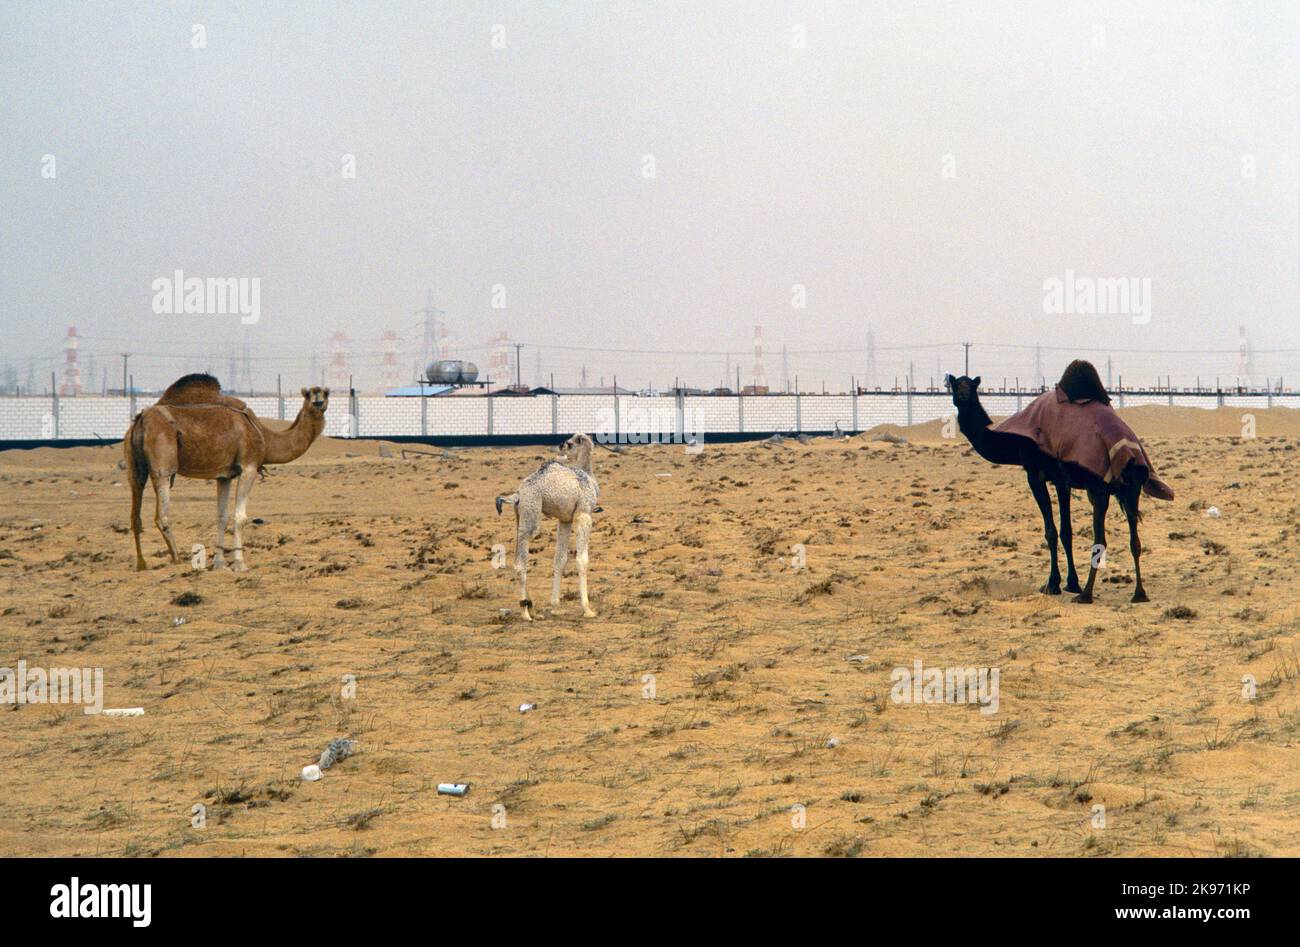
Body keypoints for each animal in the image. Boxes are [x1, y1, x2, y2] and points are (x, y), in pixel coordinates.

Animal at [124, 374, 329, 571]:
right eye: (309, 395)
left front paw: (219, 564)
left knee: (135, 511)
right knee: (162, 514)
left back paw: (141, 564)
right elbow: (240, 517)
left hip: (134, 466)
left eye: (326, 393)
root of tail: (140, 421)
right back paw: (177, 559)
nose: (318, 402)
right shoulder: (249, 467)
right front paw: (240, 563)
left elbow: (221, 516)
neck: (265, 437)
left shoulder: (224, 476)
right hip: (162, 465)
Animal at [495, 433, 601, 621]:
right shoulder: (584, 514)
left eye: (568, 443)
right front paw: (588, 610)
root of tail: (518, 493)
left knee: (517, 557)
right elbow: (582, 560)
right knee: (521, 562)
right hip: (532, 512)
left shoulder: (565, 520)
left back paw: (532, 608)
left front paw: (556, 608)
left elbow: (560, 559)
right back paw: (525, 612)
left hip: (520, 516)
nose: (559, 447)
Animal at [947, 361, 1172, 604]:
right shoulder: (1062, 480)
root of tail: (1130, 455)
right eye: (955, 385)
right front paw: (1071, 583)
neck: (1014, 441)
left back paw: (1086, 594)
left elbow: (1051, 531)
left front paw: (1053, 584)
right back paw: (1139, 593)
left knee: (1100, 539)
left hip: (1099, 488)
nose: (963, 395)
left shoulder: (1036, 474)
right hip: (1133, 488)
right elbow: (1066, 531)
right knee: (1135, 540)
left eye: (971, 386)